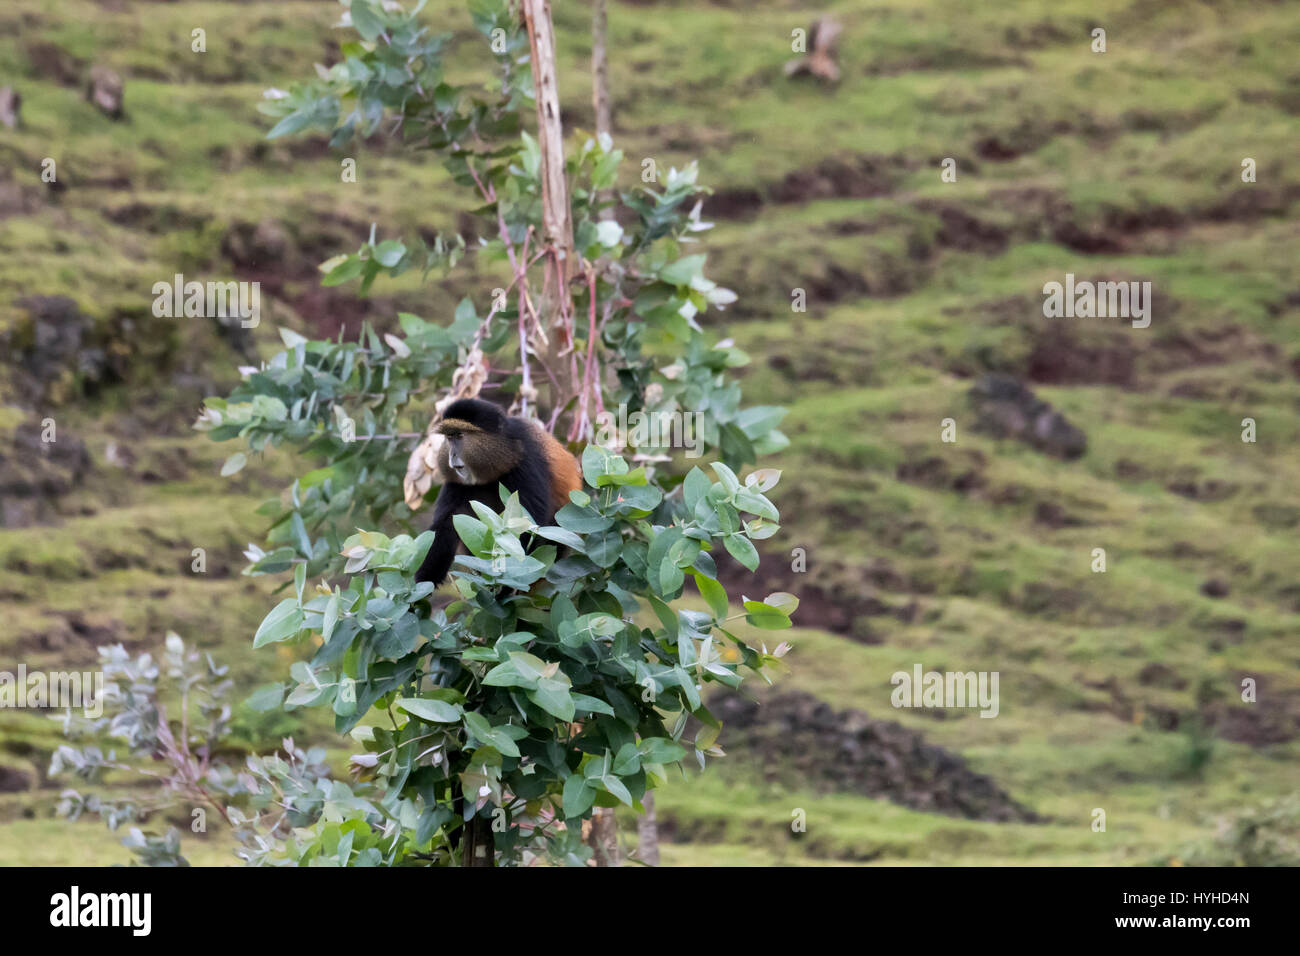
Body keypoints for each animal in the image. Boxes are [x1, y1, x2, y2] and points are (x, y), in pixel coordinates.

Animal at [414, 397, 582, 587]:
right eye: (449, 437)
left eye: (459, 435)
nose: (452, 455)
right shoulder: (457, 482)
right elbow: (447, 522)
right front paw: (422, 583)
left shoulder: (526, 463)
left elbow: (529, 523)